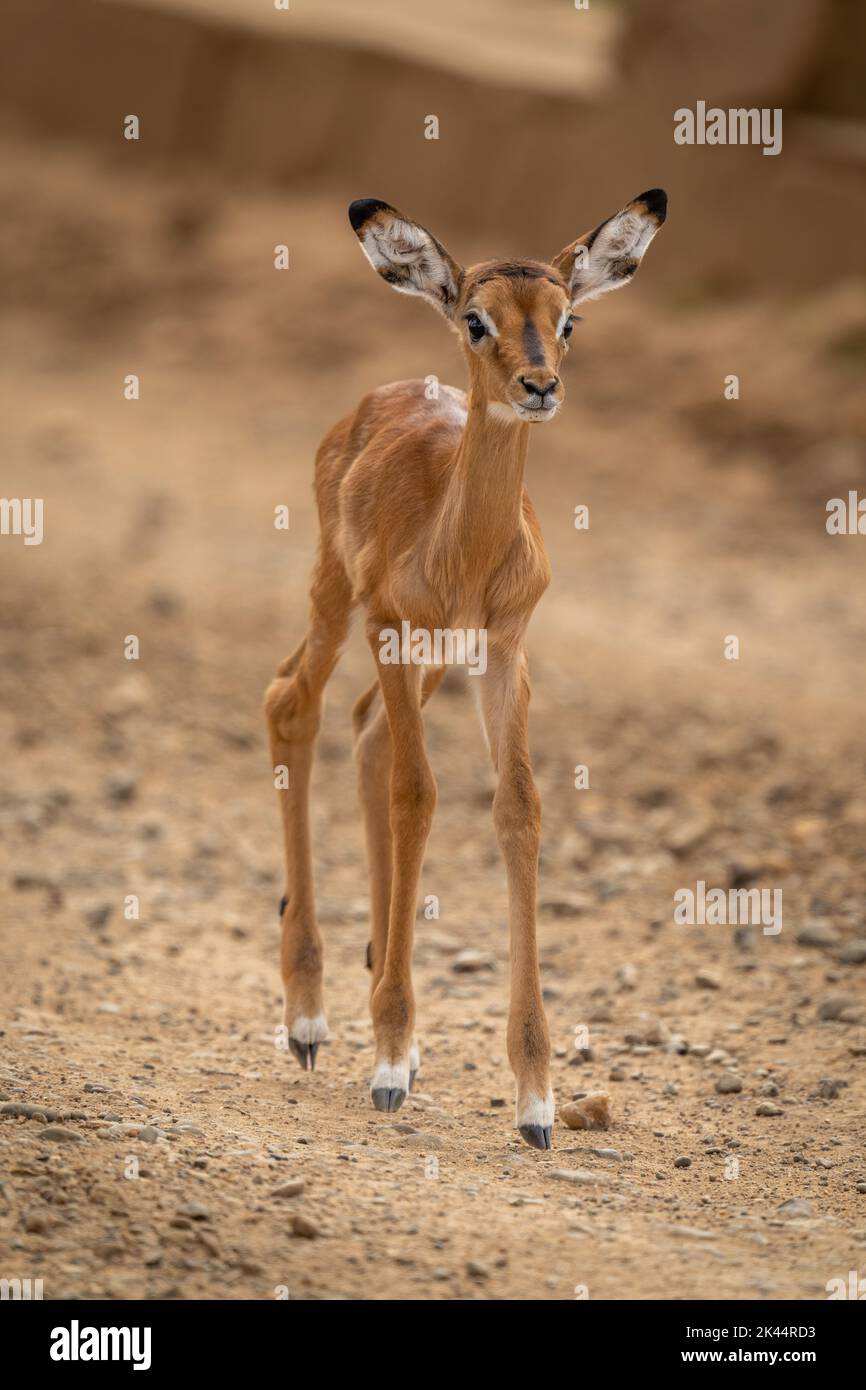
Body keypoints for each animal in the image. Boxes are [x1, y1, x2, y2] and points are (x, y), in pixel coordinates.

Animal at [265, 189, 667, 1148]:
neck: (468, 550)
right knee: (296, 703)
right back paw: (311, 1021)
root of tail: (371, 403)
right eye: (476, 319)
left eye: (569, 319)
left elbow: (516, 809)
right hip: (340, 602)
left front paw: (535, 1100)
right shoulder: (393, 628)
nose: (540, 386)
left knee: (367, 732)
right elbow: (419, 795)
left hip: (431, 662)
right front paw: (384, 1064)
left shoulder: (504, 655)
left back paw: (387, 1022)